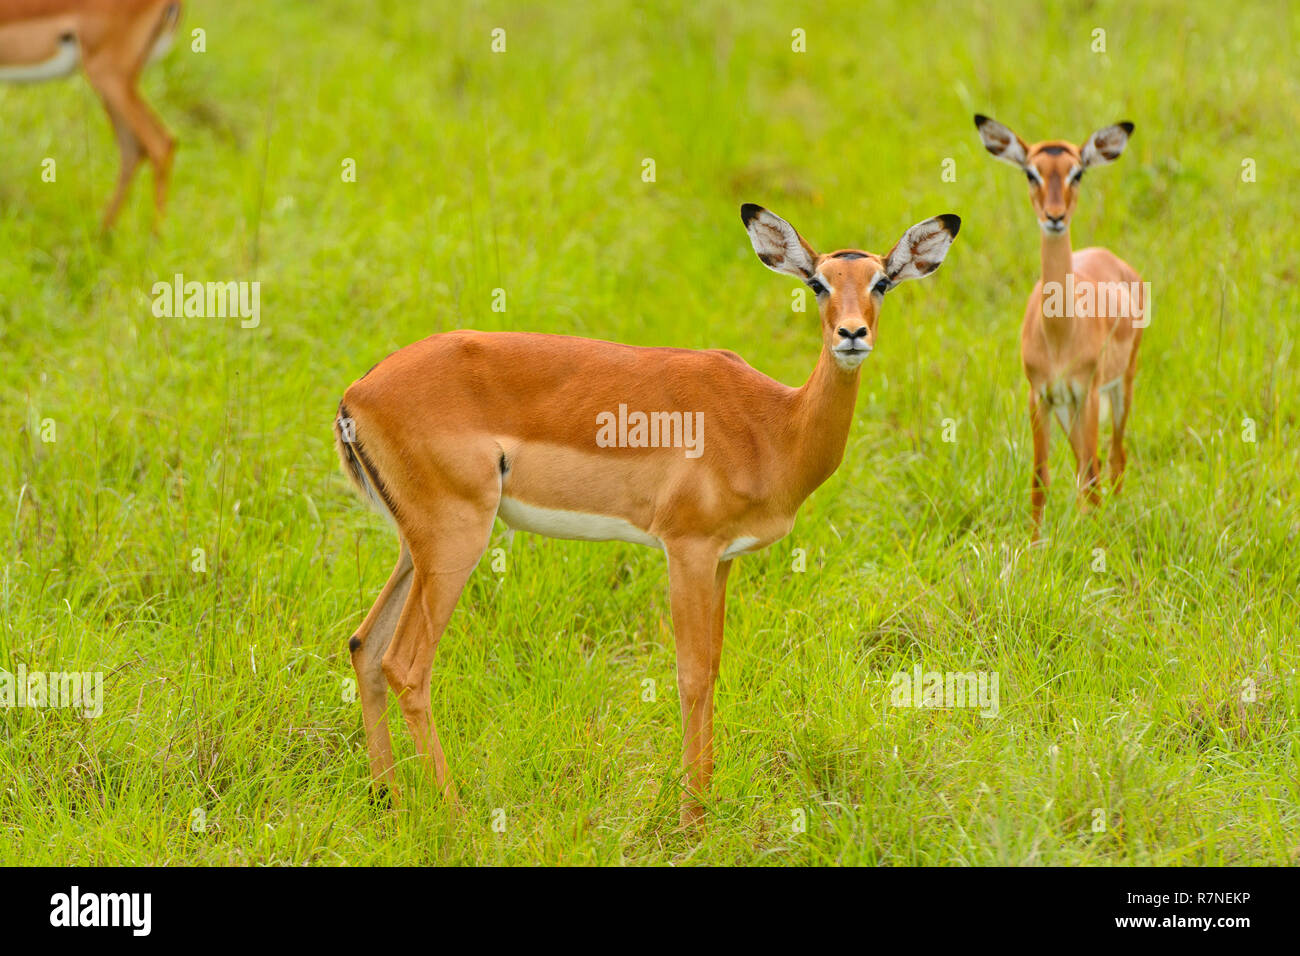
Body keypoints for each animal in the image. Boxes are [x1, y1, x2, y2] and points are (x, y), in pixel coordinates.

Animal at [334, 204, 960, 824]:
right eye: (818, 283)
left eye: (880, 282)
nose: (852, 334)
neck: (774, 425)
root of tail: (356, 395)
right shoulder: (687, 548)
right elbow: (690, 674)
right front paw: (690, 818)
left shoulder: (723, 559)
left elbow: (712, 668)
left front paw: (703, 803)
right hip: (455, 541)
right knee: (405, 665)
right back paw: (457, 814)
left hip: (417, 548)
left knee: (365, 645)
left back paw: (388, 800)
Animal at [974, 115, 1145, 536]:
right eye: (1031, 172)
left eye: (1077, 172)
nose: (1054, 217)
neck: (1059, 334)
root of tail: (1111, 258)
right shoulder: (1040, 396)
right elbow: (1041, 477)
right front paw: (1035, 545)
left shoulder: (1088, 392)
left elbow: (1092, 471)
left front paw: (1093, 539)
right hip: (1069, 407)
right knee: (1089, 463)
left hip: (1120, 386)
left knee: (1113, 458)